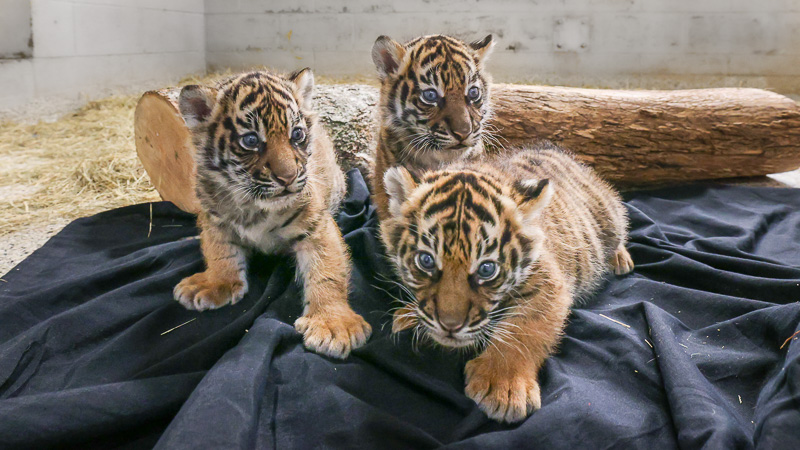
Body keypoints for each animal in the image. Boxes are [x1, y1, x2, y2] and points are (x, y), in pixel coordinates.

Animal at [174, 69, 371, 359]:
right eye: (251, 140)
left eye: (297, 134)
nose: (287, 177)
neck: (254, 205)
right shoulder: (214, 219)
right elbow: (220, 252)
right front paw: (216, 283)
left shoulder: (316, 227)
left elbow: (327, 271)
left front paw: (333, 324)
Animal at [380, 141, 634, 423]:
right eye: (425, 261)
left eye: (487, 269)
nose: (450, 326)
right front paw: (407, 316)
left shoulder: (549, 284)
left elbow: (523, 330)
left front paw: (505, 388)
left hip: (609, 213)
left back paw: (620, 259)